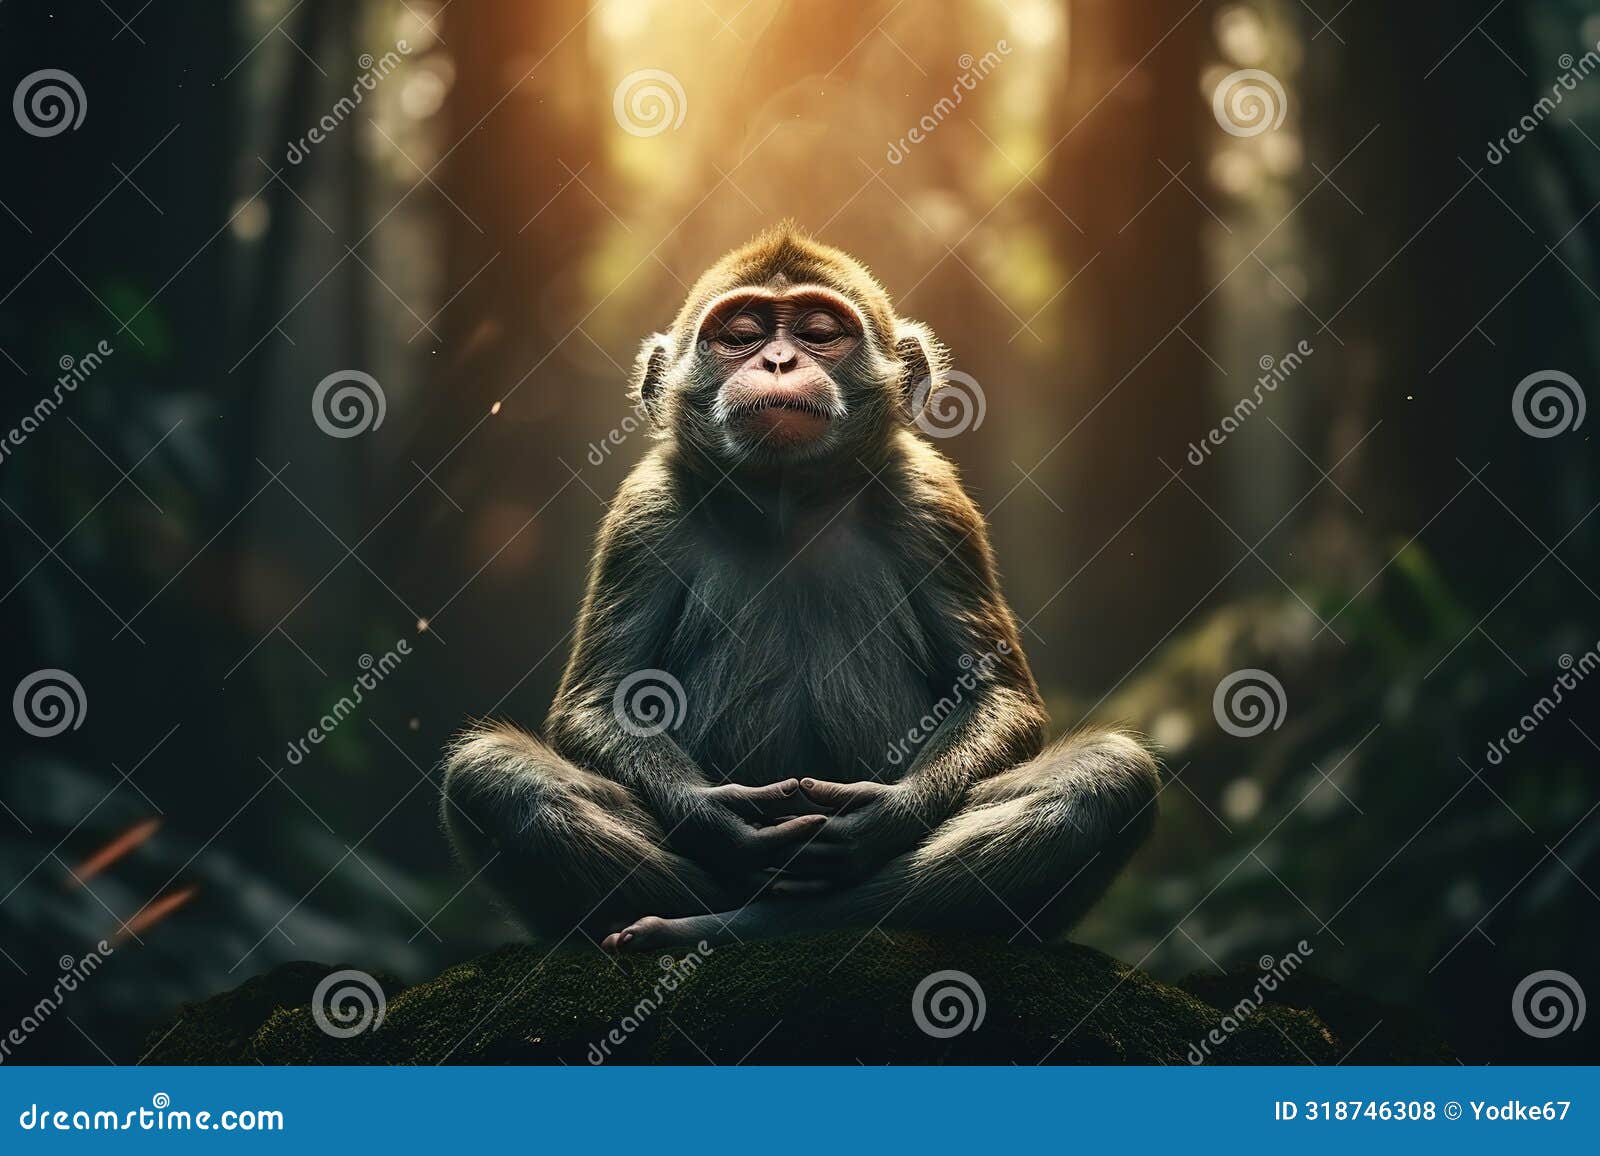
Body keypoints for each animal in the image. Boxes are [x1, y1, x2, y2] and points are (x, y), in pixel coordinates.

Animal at [440, 225, 1159, 952]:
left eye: (819, 332)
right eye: (740, 334)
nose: (780, 360)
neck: (789, 501)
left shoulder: (933, 501)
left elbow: (1000, 696)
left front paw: (881, 817)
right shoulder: (644, 511)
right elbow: (597, 700)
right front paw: (717, 820)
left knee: (1106, 777)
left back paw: (799, 918)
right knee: (495, 777)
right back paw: (698, 921)